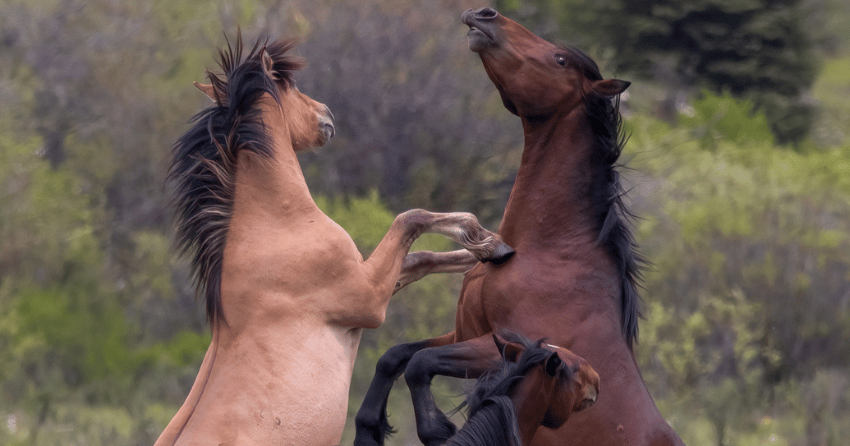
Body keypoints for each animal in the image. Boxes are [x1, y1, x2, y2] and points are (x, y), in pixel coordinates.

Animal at [154, 33, 514, 446]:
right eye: (289, 85)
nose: (326, 114)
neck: (275, 226)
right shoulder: (368, 298)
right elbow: (412, 219)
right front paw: (485, 239)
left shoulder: (367, 278)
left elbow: (421, 257)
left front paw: (484, 252)